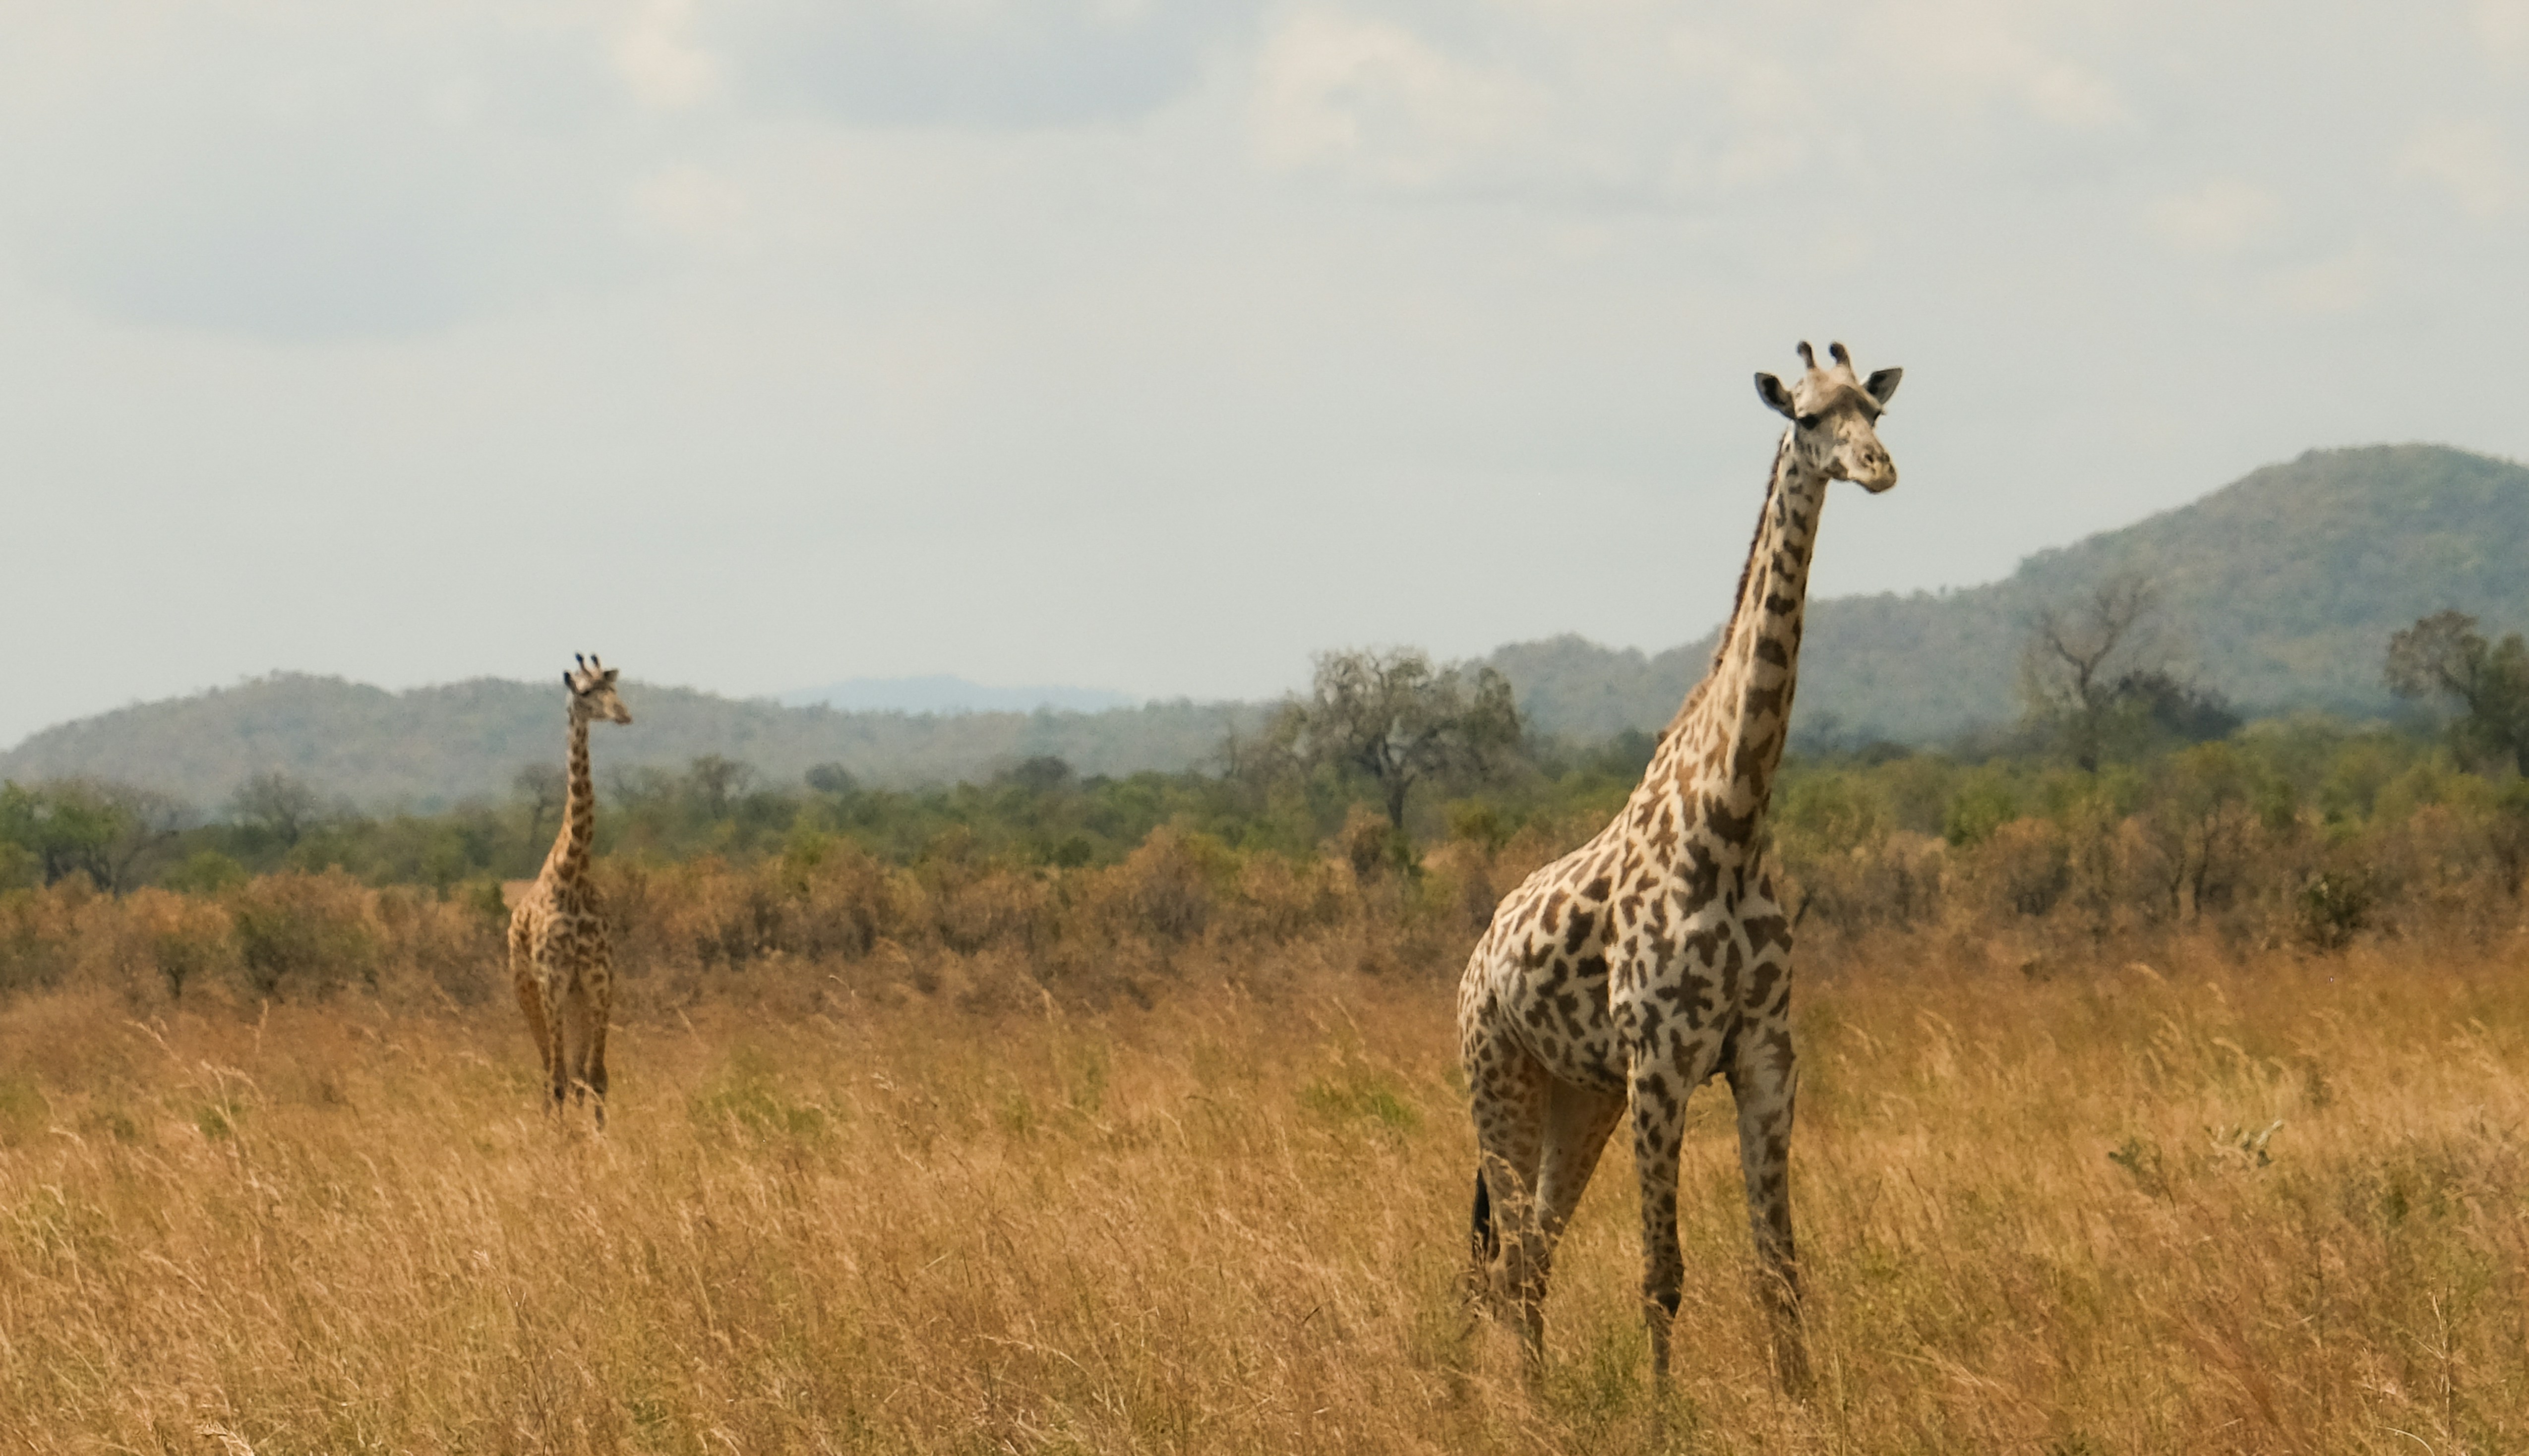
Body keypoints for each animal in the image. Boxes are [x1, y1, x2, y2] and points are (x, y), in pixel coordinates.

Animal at [511, 654, 633, 1128]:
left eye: (614, 687)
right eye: (584, 692)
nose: (624, 714)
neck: (573, 874)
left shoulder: (600, 979)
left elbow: (597, 1076)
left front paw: (600, 1141)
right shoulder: (553, 980)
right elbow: (561, 1078)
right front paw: (563, 1143)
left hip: (576, 998)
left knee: (577, 1072)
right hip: (527, 990)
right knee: (550, 1072)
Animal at [1457, 342, 1902, 1393]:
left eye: (1873, 410)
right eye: (1809, 418)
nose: (1877, 468)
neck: (1732, 822)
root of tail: (1474, 962)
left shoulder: (1767, 1055)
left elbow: (1779, 1268)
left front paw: (1805, 1404)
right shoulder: (1662, 1061)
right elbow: (1662, 1274)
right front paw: (1666, 1412)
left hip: (1581, 1095)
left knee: (1533, 1258)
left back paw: (1540, 1403)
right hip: (1499, 1080)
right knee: (1508, 1266)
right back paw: (1524, 1405)